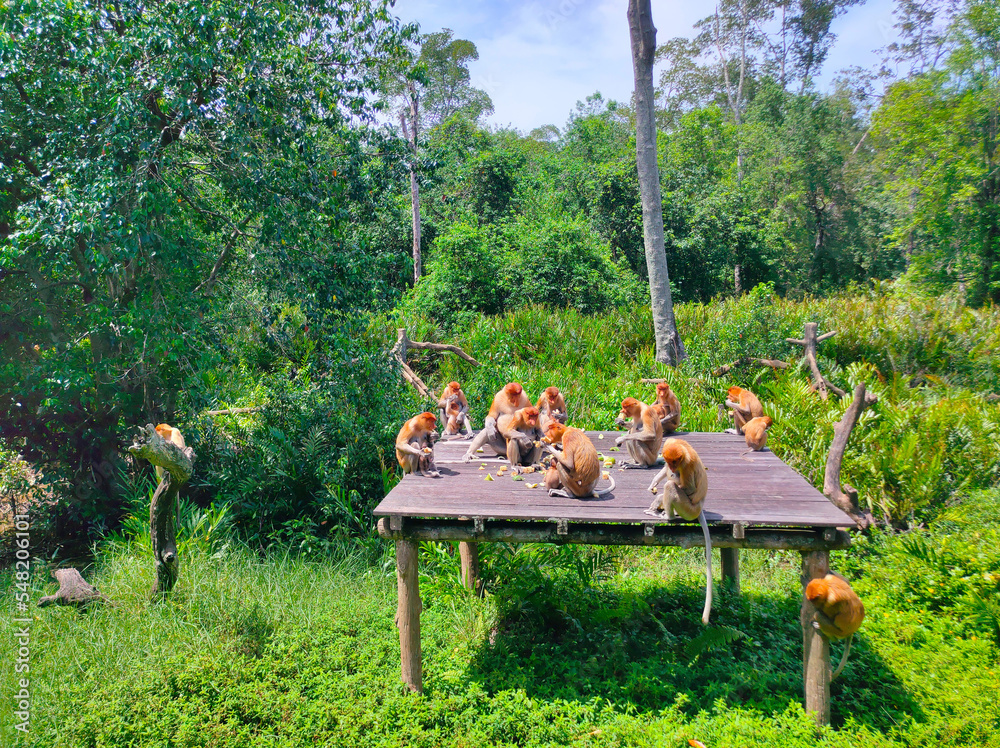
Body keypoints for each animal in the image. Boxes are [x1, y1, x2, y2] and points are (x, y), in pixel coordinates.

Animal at [645, 438, 713, 625]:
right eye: (670, 461)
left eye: (676, 462)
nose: (673, 467)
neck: (682, 448)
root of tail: (700, 507)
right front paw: (654, 482)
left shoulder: (687, 465)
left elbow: (688, 488)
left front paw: (659, 497)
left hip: (688, 508)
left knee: (671, 486)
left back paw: (666, 515)